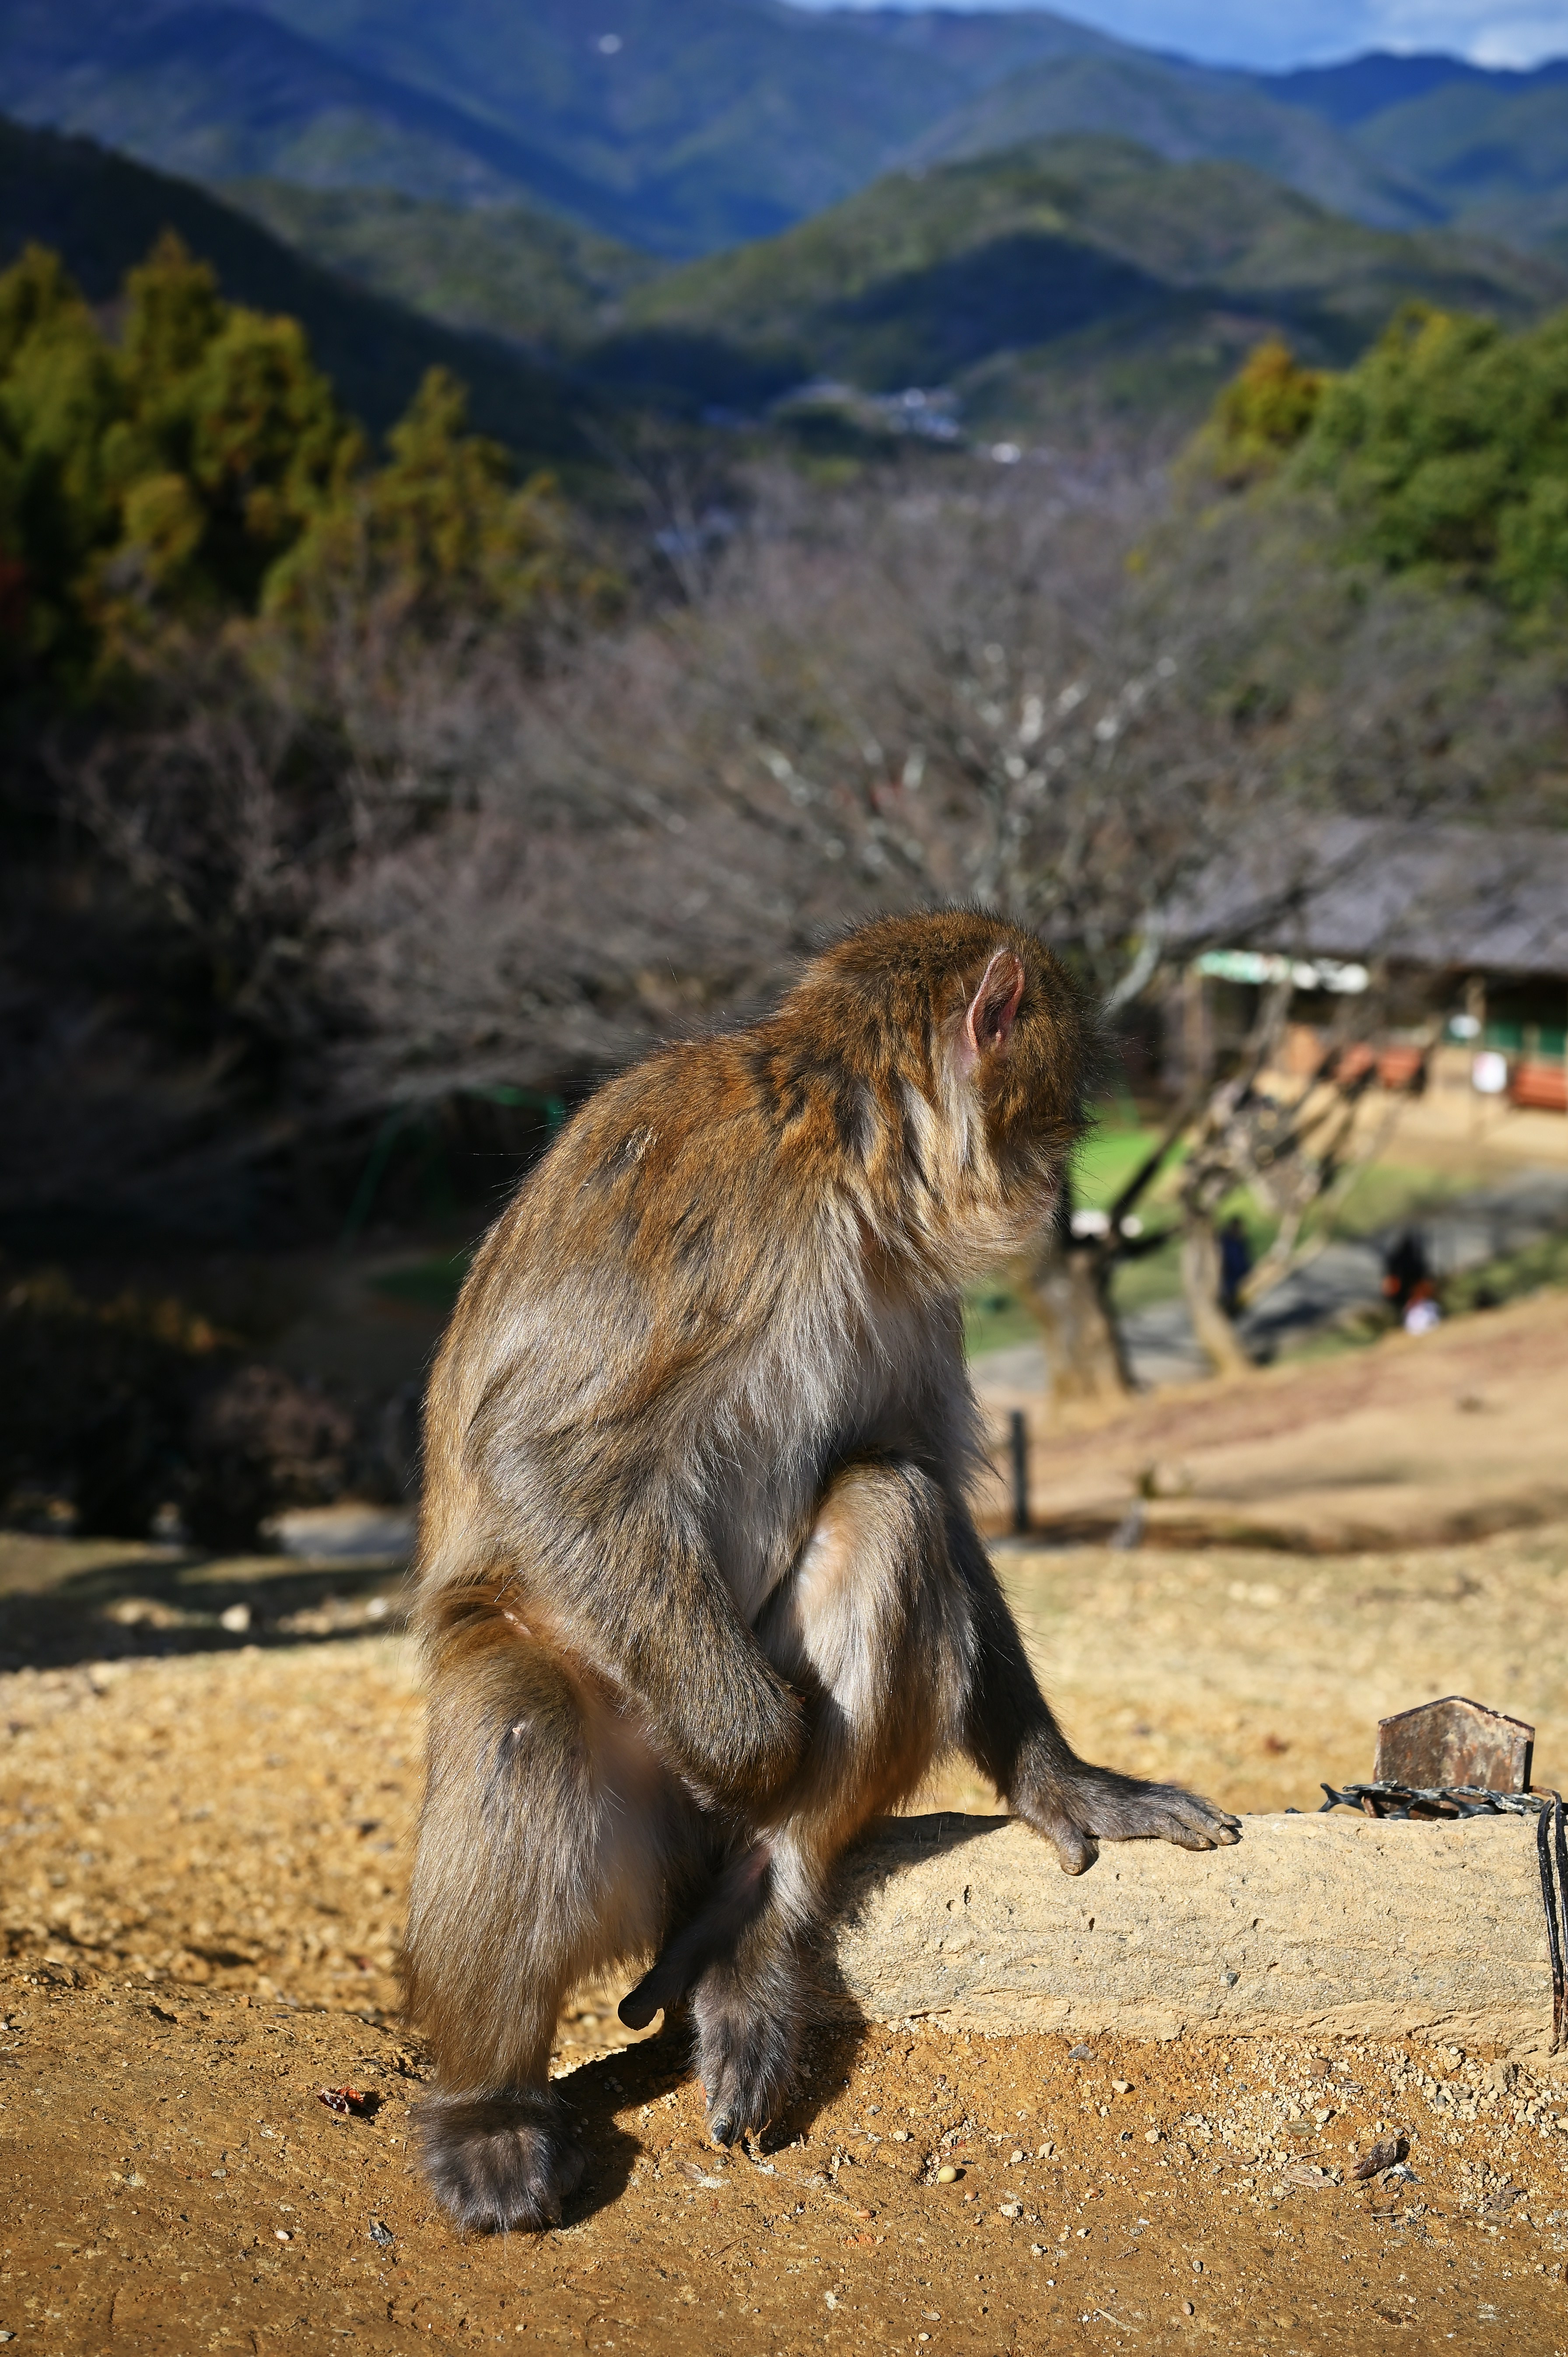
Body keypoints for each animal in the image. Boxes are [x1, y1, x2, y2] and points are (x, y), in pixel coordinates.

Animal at [402, 909, 1239, 2233]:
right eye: (1060, 1112)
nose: (1062, 1187)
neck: (849, 1162)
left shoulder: (909, 1282)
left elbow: (930, 1489)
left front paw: (1060, 1777)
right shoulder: (718, 1186)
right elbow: (548, 1450)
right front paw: (753, 1743)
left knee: (886, 1502)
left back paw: (752, 1921)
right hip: (631, 1743)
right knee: (522, 1720)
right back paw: (491, 2107)